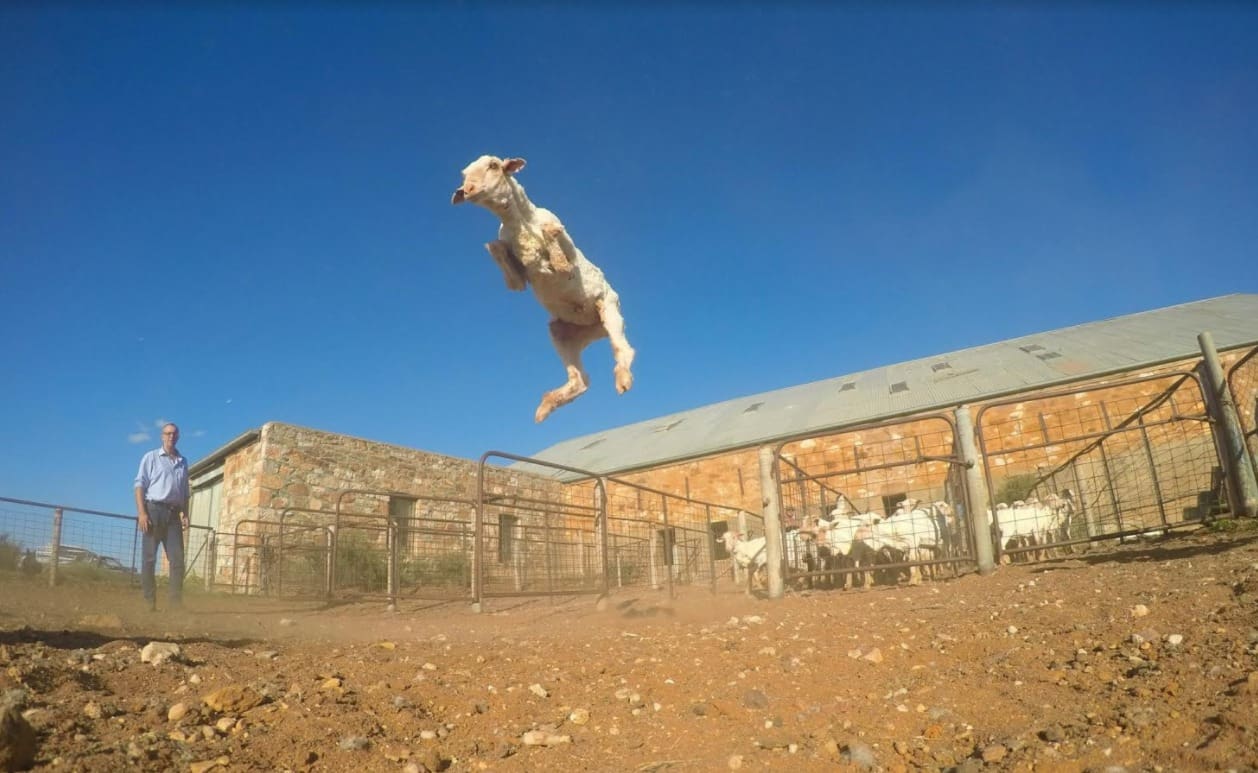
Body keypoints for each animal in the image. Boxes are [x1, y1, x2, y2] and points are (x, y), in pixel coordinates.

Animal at [452, 155, 635, 422]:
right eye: (464, 174)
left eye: (493, 165)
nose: (468, 190)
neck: (521, 224)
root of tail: (595, 328)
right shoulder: (517, 280)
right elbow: (500, 252)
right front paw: (495, 246)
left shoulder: (568, 266)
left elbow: (559, 257)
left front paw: (551, 233)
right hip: (561, 332)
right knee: (580, 381)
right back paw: (544, 408)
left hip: (609, 308)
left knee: (623, 349)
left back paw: (622, 381)